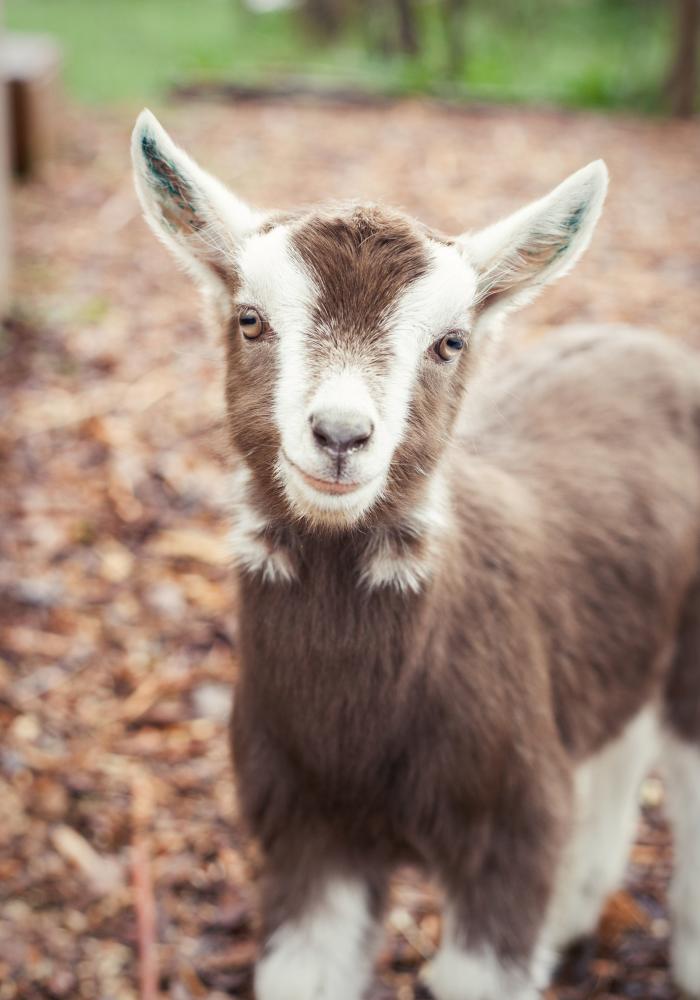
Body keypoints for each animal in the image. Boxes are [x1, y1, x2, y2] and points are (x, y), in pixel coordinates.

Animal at [132, 110, 700, 1000]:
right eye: (250, 318)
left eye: (451, 342)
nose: (339, 436)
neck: (357, 737)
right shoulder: (303, 826)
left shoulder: (512, 823)